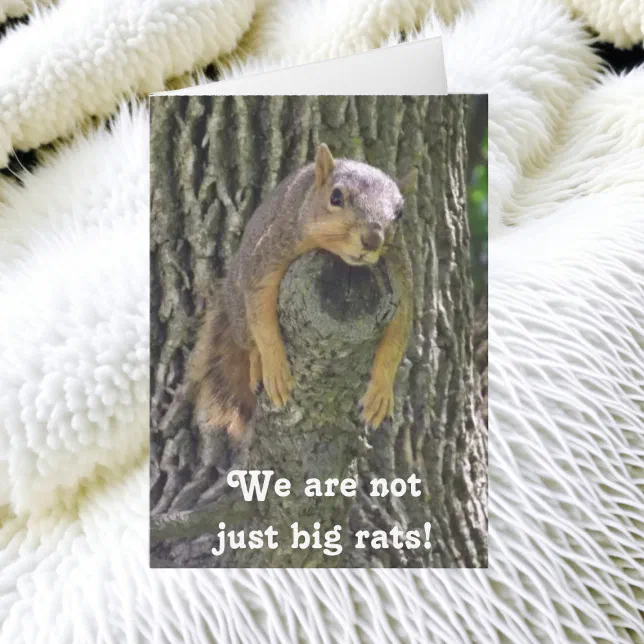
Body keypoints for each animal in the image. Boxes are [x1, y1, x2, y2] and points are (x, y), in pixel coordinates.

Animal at [189, 143, 414, 438]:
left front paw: (381, 392)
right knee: (248, 340)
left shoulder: (400, 275)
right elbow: (262, 315)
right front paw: (275, 367)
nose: (373, 239)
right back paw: (257, 365)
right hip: (238, 309)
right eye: (336, 197)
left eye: (399, 214)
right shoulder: (272, 251)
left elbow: (398, 336)